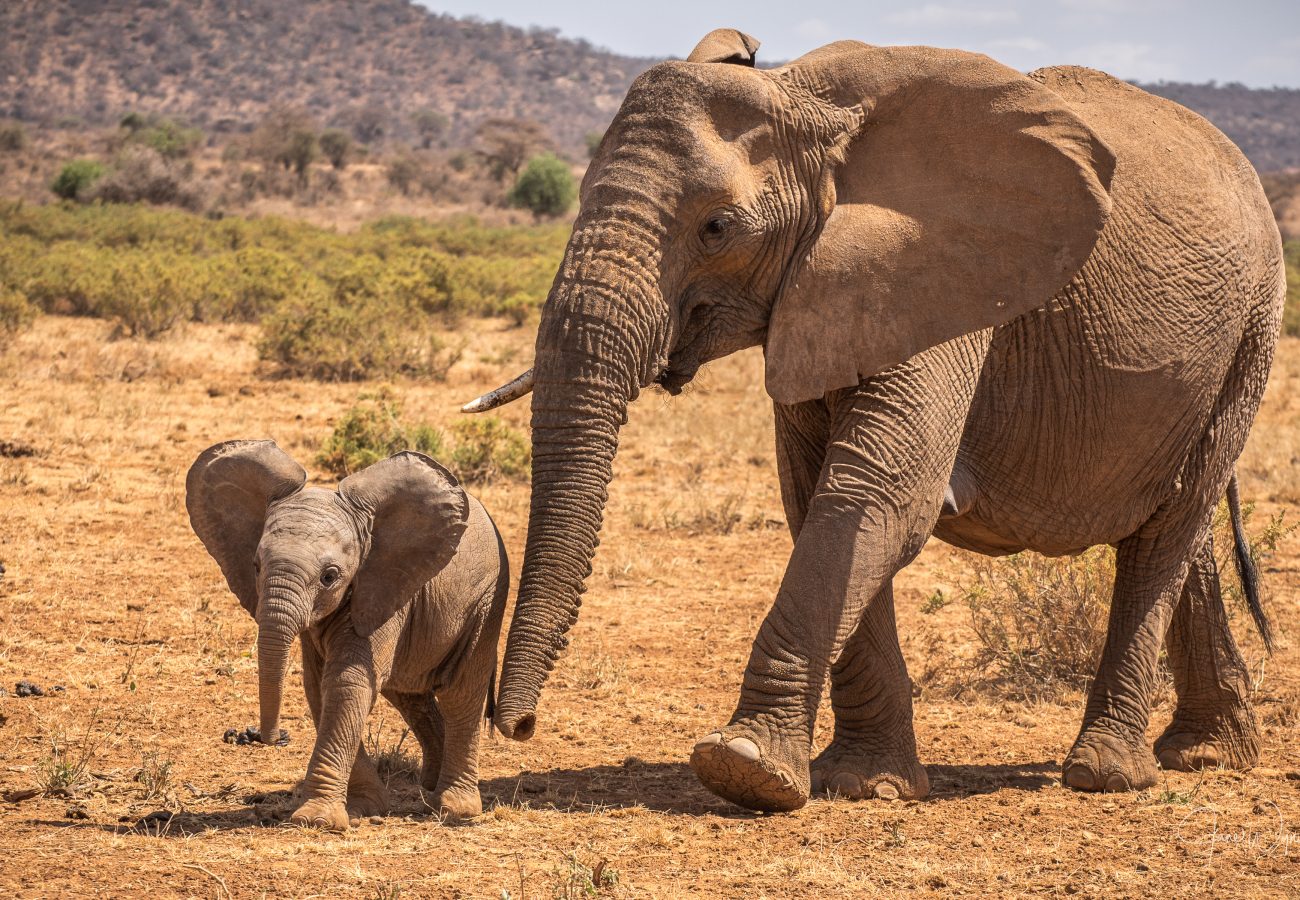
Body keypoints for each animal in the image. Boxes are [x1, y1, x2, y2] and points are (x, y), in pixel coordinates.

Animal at [186, 442, 507, 830]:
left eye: (330, 576)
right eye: (256, 566)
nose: (268, 738)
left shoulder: (382, 584)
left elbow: (346, 682)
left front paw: (316, 820)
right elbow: (318, 687)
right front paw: (363, 808)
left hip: (487, 599)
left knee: (462, 692)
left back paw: (454, 808)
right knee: (408, 696)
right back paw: (429, 786)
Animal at [463, 29, 1285, 812]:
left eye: (717, 227)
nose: (517, 725)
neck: (803, 98)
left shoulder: (947, 276)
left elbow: (877, 494)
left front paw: (743, 769)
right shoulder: (822, 291)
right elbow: (815, 497)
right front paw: (865, 784)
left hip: (1252, 329)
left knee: (1168, 528)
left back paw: (1106, 774)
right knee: (1181, 527)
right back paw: (1207, 756)